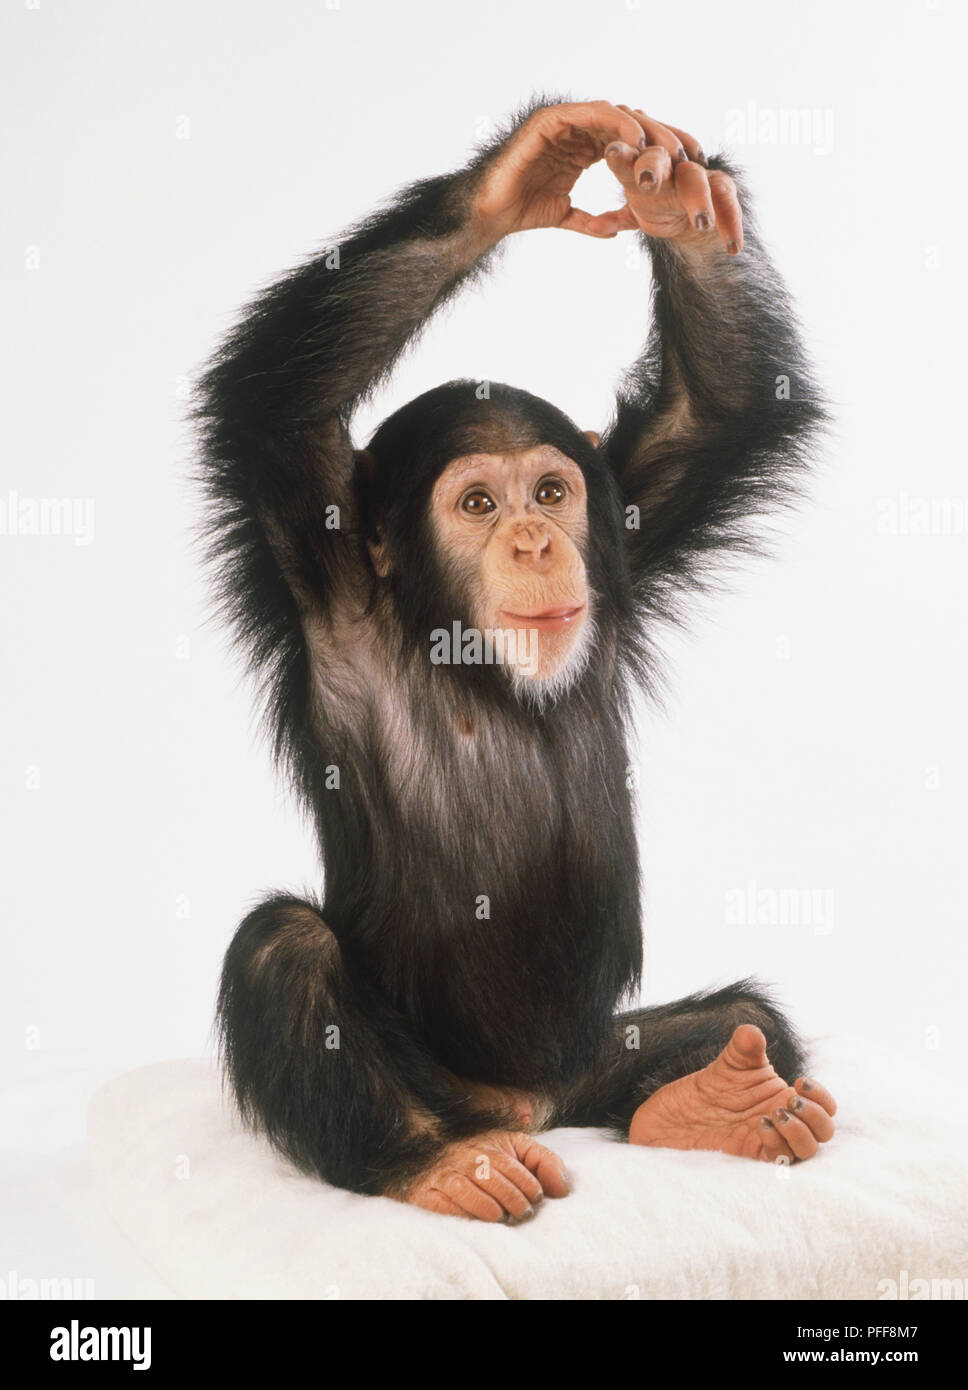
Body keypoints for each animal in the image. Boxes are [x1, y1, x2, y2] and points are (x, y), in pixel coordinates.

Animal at [194, 98, 836, 1222]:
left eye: (547, 492)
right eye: (477, 502)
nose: (533, 540)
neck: (467, 657)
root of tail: (527, 1104)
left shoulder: (630, 516)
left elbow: (716, 411)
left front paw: (670, 196)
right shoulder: (316, 559)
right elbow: (274, 407)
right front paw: (511, 180)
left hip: (591, 1060)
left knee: (746, 1019)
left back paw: (714, 1101)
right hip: (447, 1087)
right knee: (284, 950)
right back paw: (439, 1164)